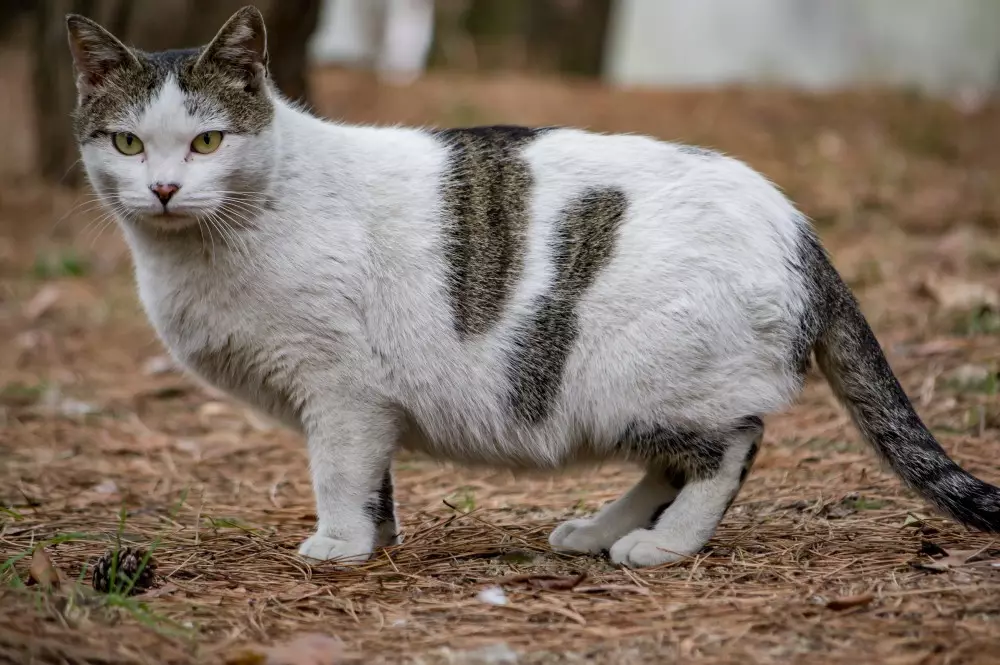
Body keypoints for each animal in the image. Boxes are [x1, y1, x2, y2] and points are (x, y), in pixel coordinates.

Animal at [66, 5, 1000, 568]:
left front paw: (338, 544)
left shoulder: (340, 391)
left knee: (728, 448)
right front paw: (380, 538)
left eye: (208, 142)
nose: (163, 189)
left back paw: (665, 546)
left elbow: (338, 473)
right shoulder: (366, 407)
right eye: (126, 143)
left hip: (650, 373)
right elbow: (375, 480)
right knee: (669, 463)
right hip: (631, 390)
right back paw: (600, 530)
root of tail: (803, 230)